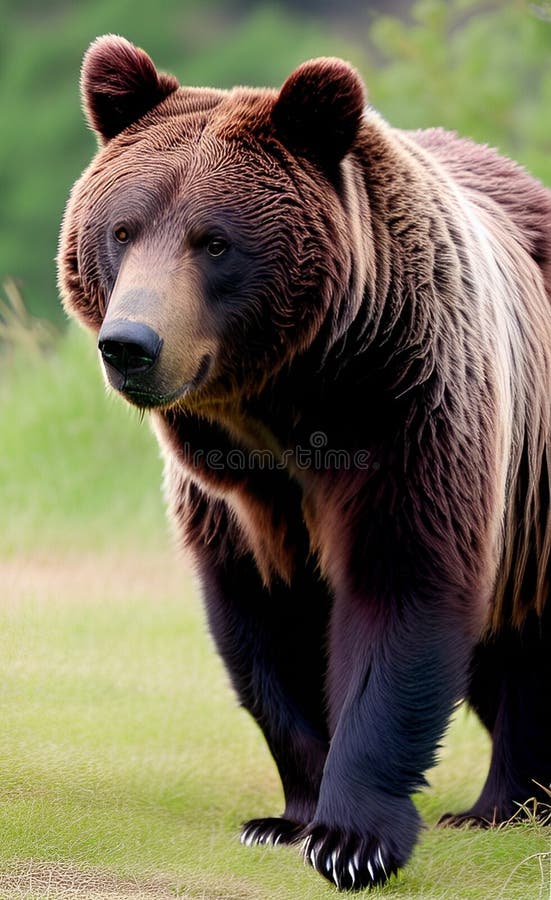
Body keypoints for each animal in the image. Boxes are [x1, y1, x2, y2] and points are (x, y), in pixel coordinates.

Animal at [58, 35, 551, 891]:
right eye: (122, 229)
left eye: (213, 240)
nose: (130, 345)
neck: (286, 407)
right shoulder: (233, 497)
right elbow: (265, 634)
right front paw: (287, 818)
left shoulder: (409, 411)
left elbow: (399, 593)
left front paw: (353, 839)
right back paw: (500, 803)